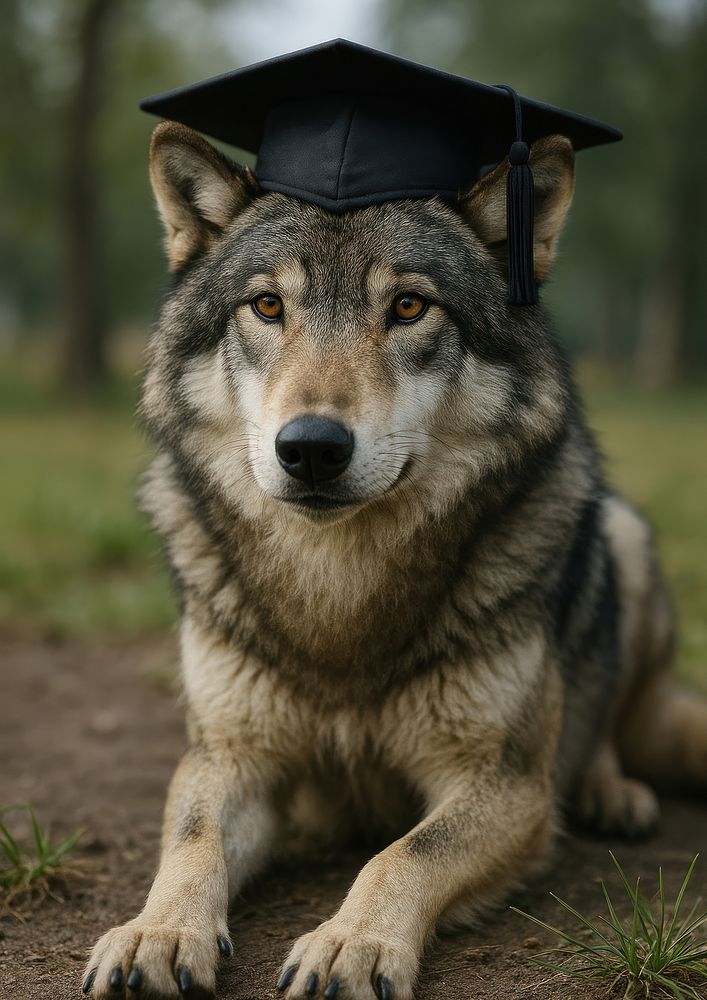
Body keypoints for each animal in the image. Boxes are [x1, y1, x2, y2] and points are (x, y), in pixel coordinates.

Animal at [83, 121, 707, 1000]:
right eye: (267, 306)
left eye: (408, 306)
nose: (311, 447)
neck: (340, 592)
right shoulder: (230, 757)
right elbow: (190, 843)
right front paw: (157, 933)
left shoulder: (504, 784)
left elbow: (401, 852)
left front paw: (351, 942)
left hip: (622, 539)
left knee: (607, 719)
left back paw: (608, 790)